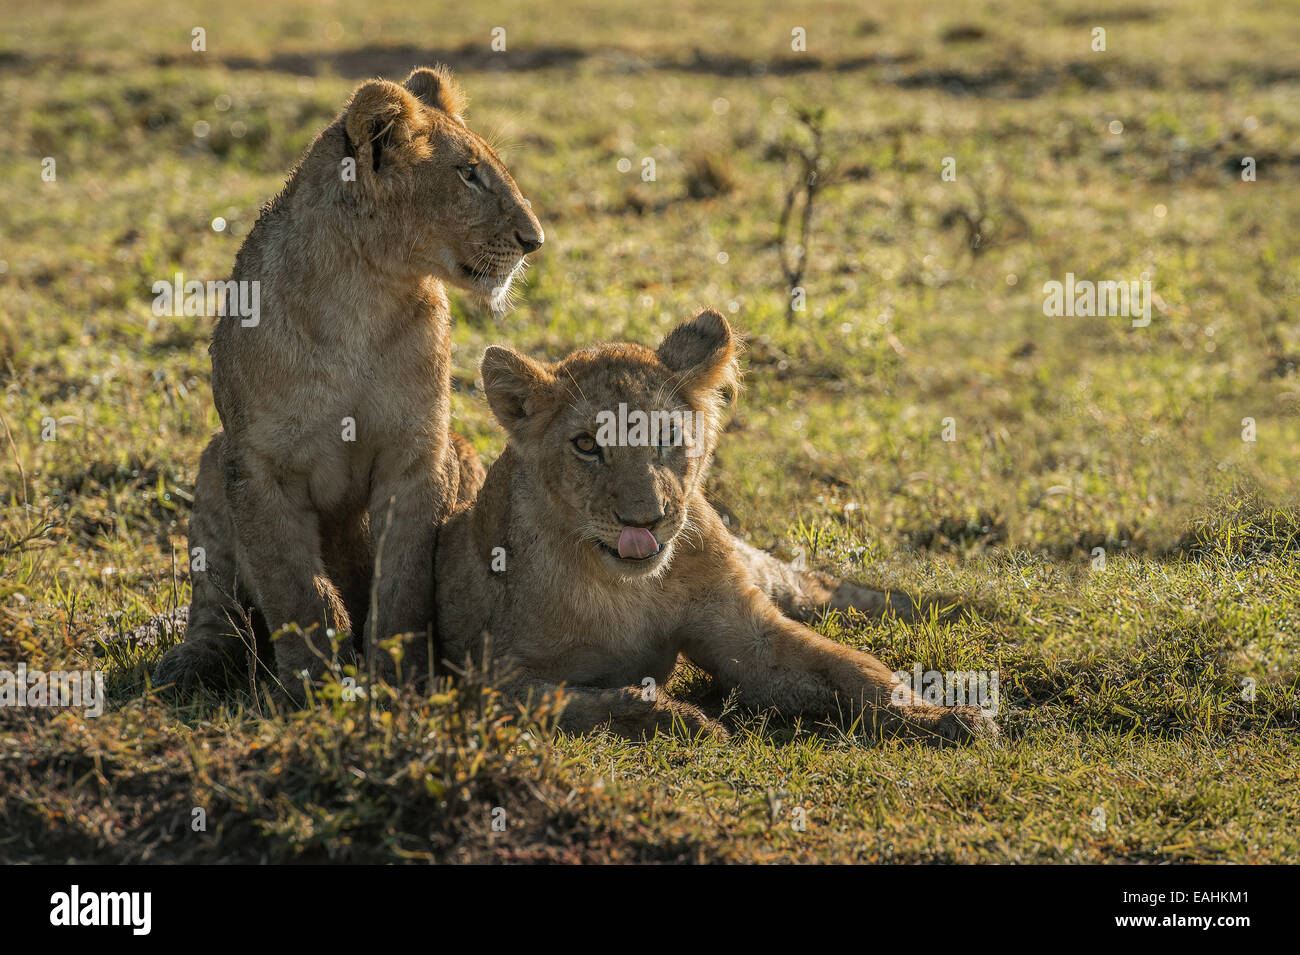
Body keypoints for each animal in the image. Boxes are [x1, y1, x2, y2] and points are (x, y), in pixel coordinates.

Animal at [154, 66, 542, 699]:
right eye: (468, 174)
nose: (536, 240)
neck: (362, 293)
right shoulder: (260, 466)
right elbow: (295, 589)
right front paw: (311, 687)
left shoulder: (417, 454)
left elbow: (402, 583)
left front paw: (399, 681)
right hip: (214, 460)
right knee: (218, 610)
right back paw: (190, 663)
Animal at [433, 310, 998, 743]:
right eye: (586, 445)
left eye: (666, 434)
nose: (645, 521)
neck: (626, 587)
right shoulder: (486, 681)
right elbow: (600, 702)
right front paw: (689, 722)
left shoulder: (745, 631)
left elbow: (851, 667)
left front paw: (944, 718)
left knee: (825, 587)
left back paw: (974, 609)